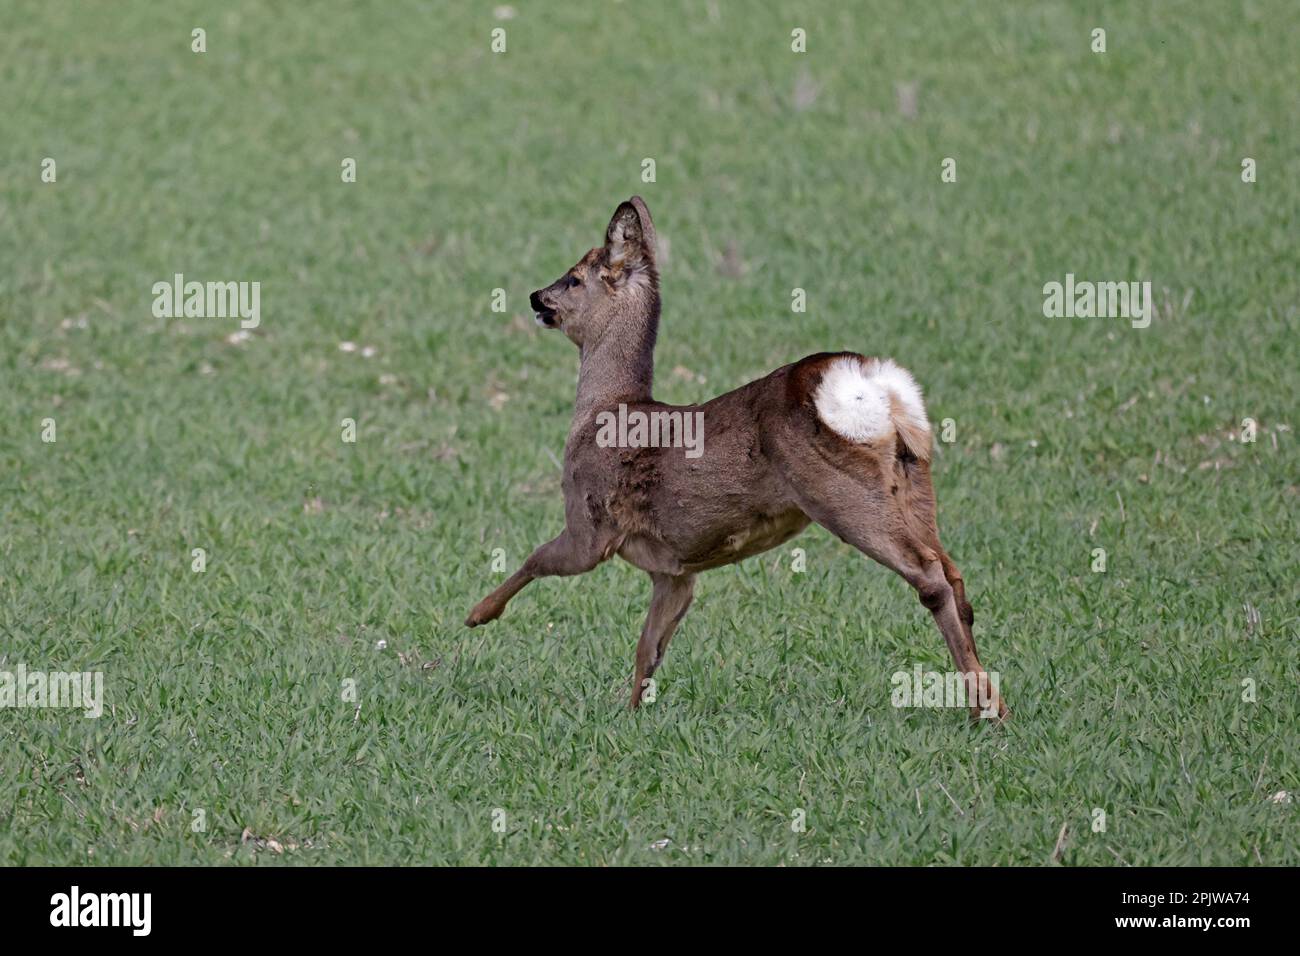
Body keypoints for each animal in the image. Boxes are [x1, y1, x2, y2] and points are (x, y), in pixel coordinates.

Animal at [465, 197, 1007, 721]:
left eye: (575, 277)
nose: (536, 297)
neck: (604, 411)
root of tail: (873, 384)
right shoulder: (676, 570)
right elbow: (649, 648)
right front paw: (631, 714)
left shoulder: (590, 524)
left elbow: (537, 558)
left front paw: (476, 614)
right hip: (915, 480)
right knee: (954, 573)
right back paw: (989, 702)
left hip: (841, 491)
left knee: (930, 575)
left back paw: (986, 709)